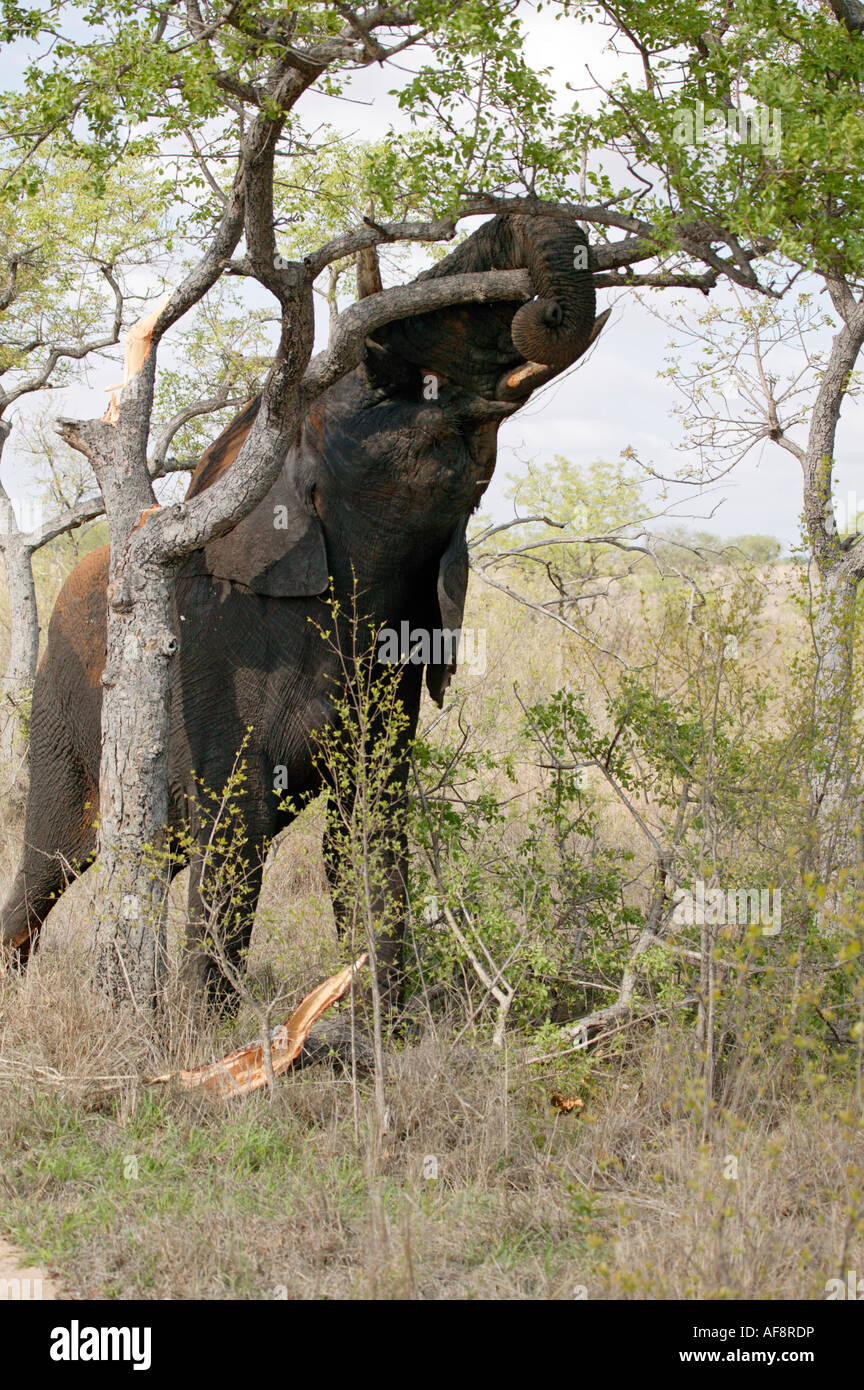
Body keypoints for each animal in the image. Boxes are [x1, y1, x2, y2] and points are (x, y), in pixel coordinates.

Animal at [0, 213, 608, 1011]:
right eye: (379, 375)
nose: (543, 306)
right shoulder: (211, 651)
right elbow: (241, 820)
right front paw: (206, 1028)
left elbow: (369, 822)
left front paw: (382, 1021)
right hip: (60, 707)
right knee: (53, 863)